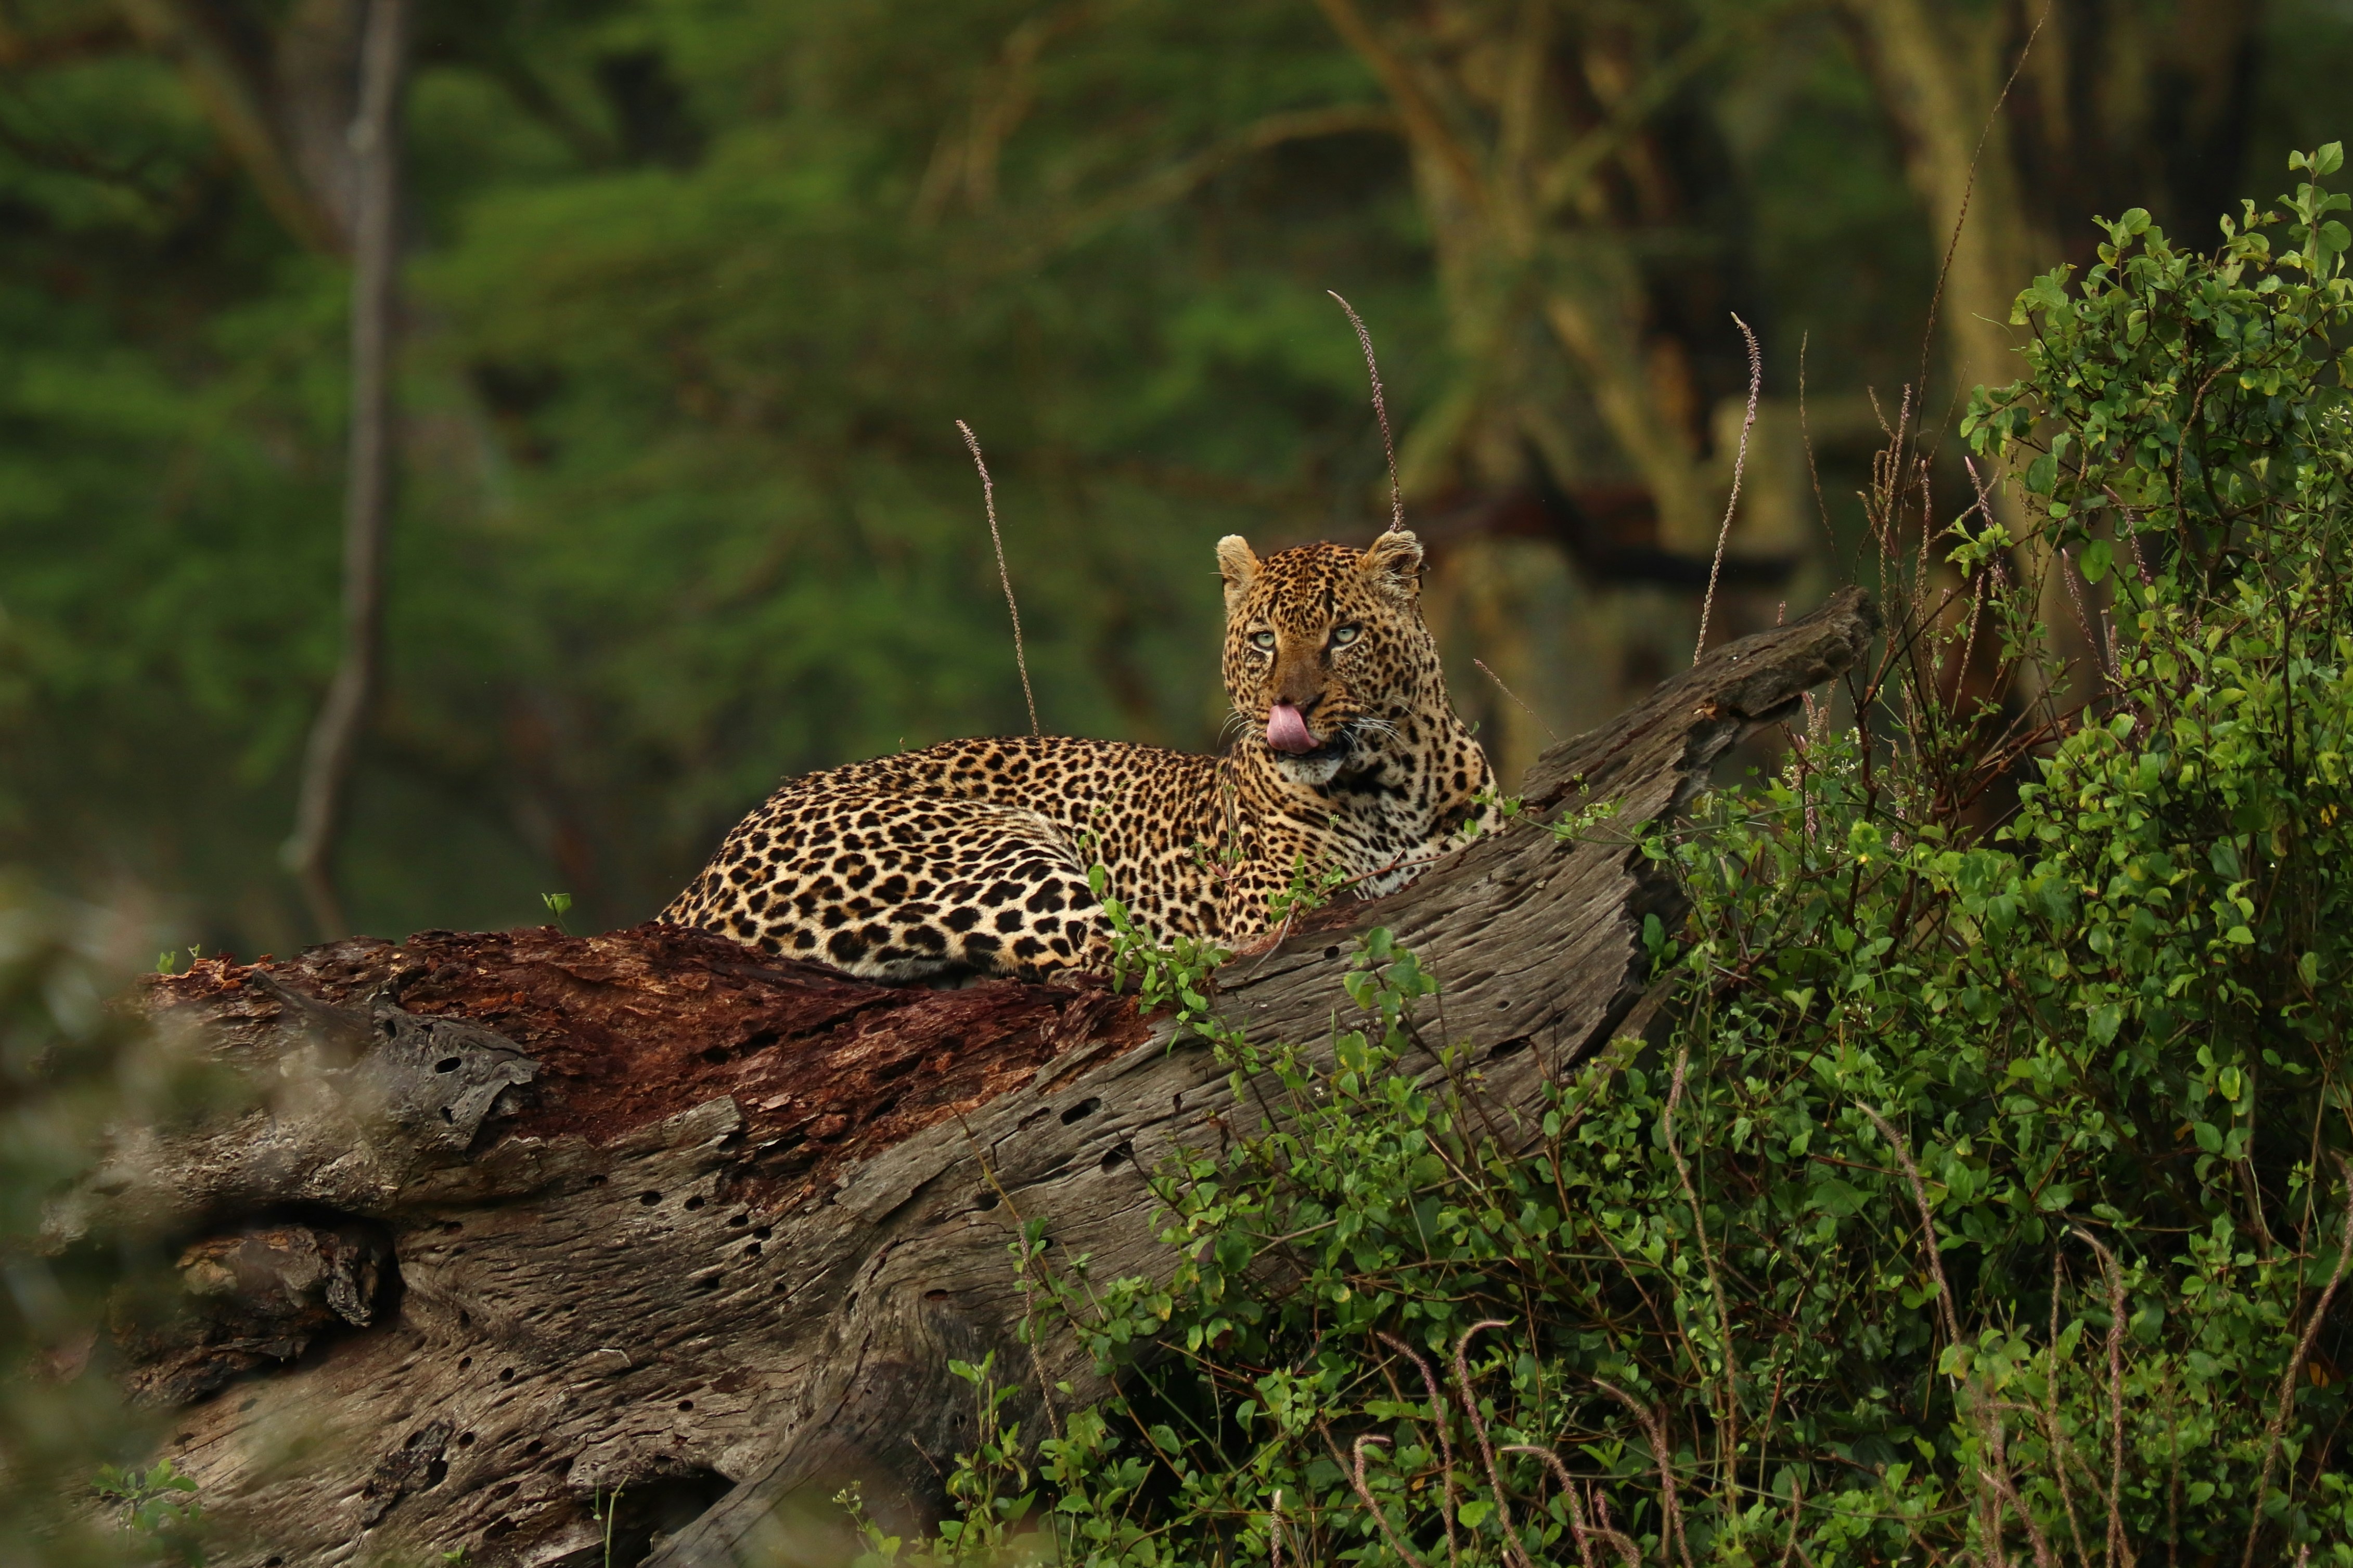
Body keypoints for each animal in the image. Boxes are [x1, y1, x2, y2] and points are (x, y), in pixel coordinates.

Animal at [660, 527, 1497, 982]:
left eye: (1344, 635)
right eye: (1263, 640)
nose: (1286, 709)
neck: (1391, 788)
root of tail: (697, 879)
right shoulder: (1267, 899)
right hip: (994, 848)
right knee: (1121, 952)